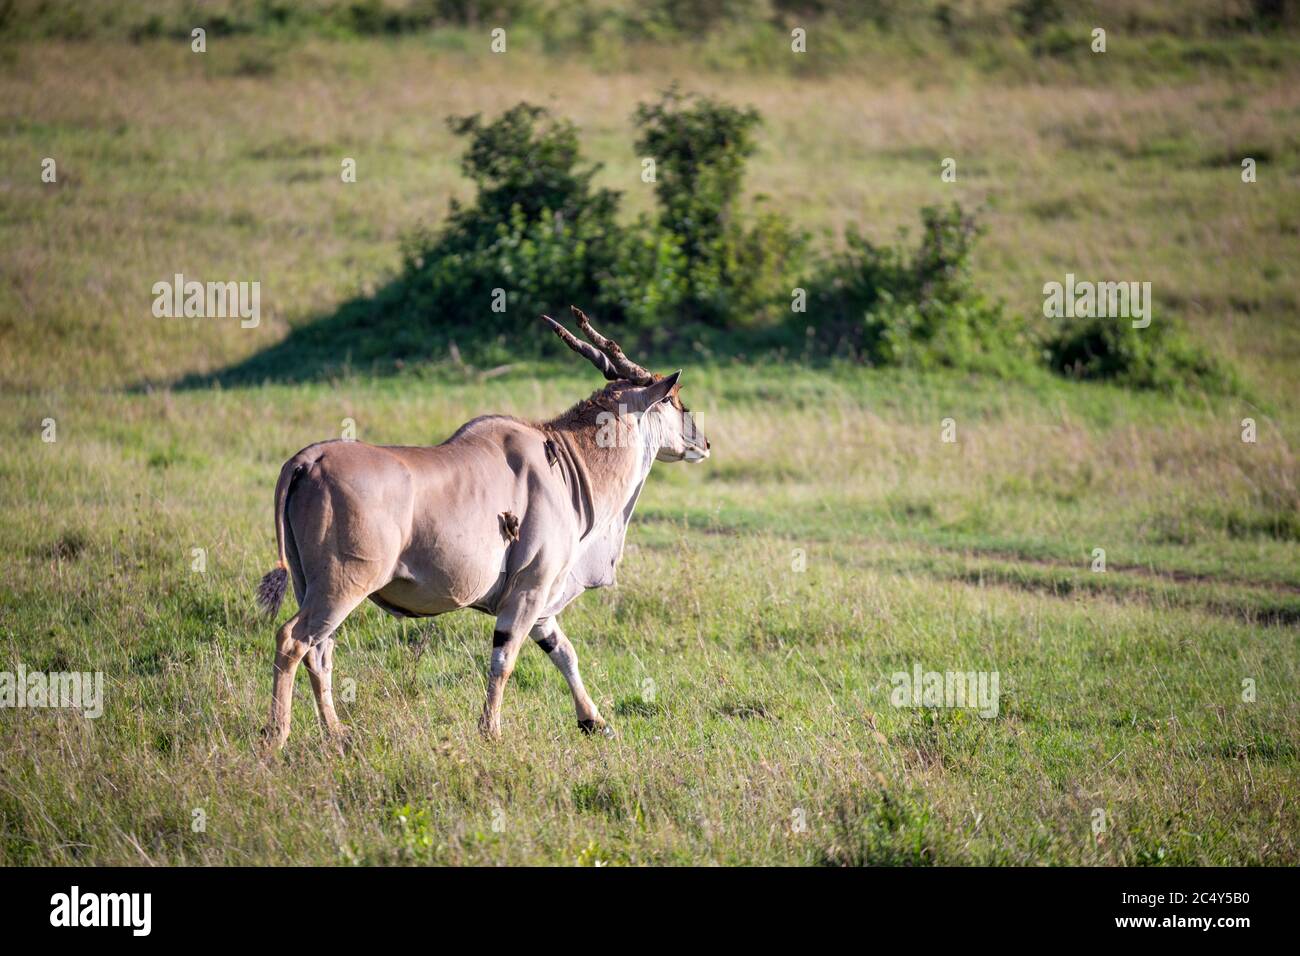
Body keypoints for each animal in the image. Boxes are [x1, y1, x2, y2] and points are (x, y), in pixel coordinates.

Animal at [255, 307, 710, 748]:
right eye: (675, 400)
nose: (703, 444)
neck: (563, 459)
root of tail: (308, 460)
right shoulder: (529, 590)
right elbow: (504, 660)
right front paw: (490, 731)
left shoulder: (540, 603)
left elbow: (564, 652)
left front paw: (594, 722)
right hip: (342, 586)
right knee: (294, 640)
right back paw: (278, 735)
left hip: (312, 587)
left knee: (320, 651)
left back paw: (336, 733)